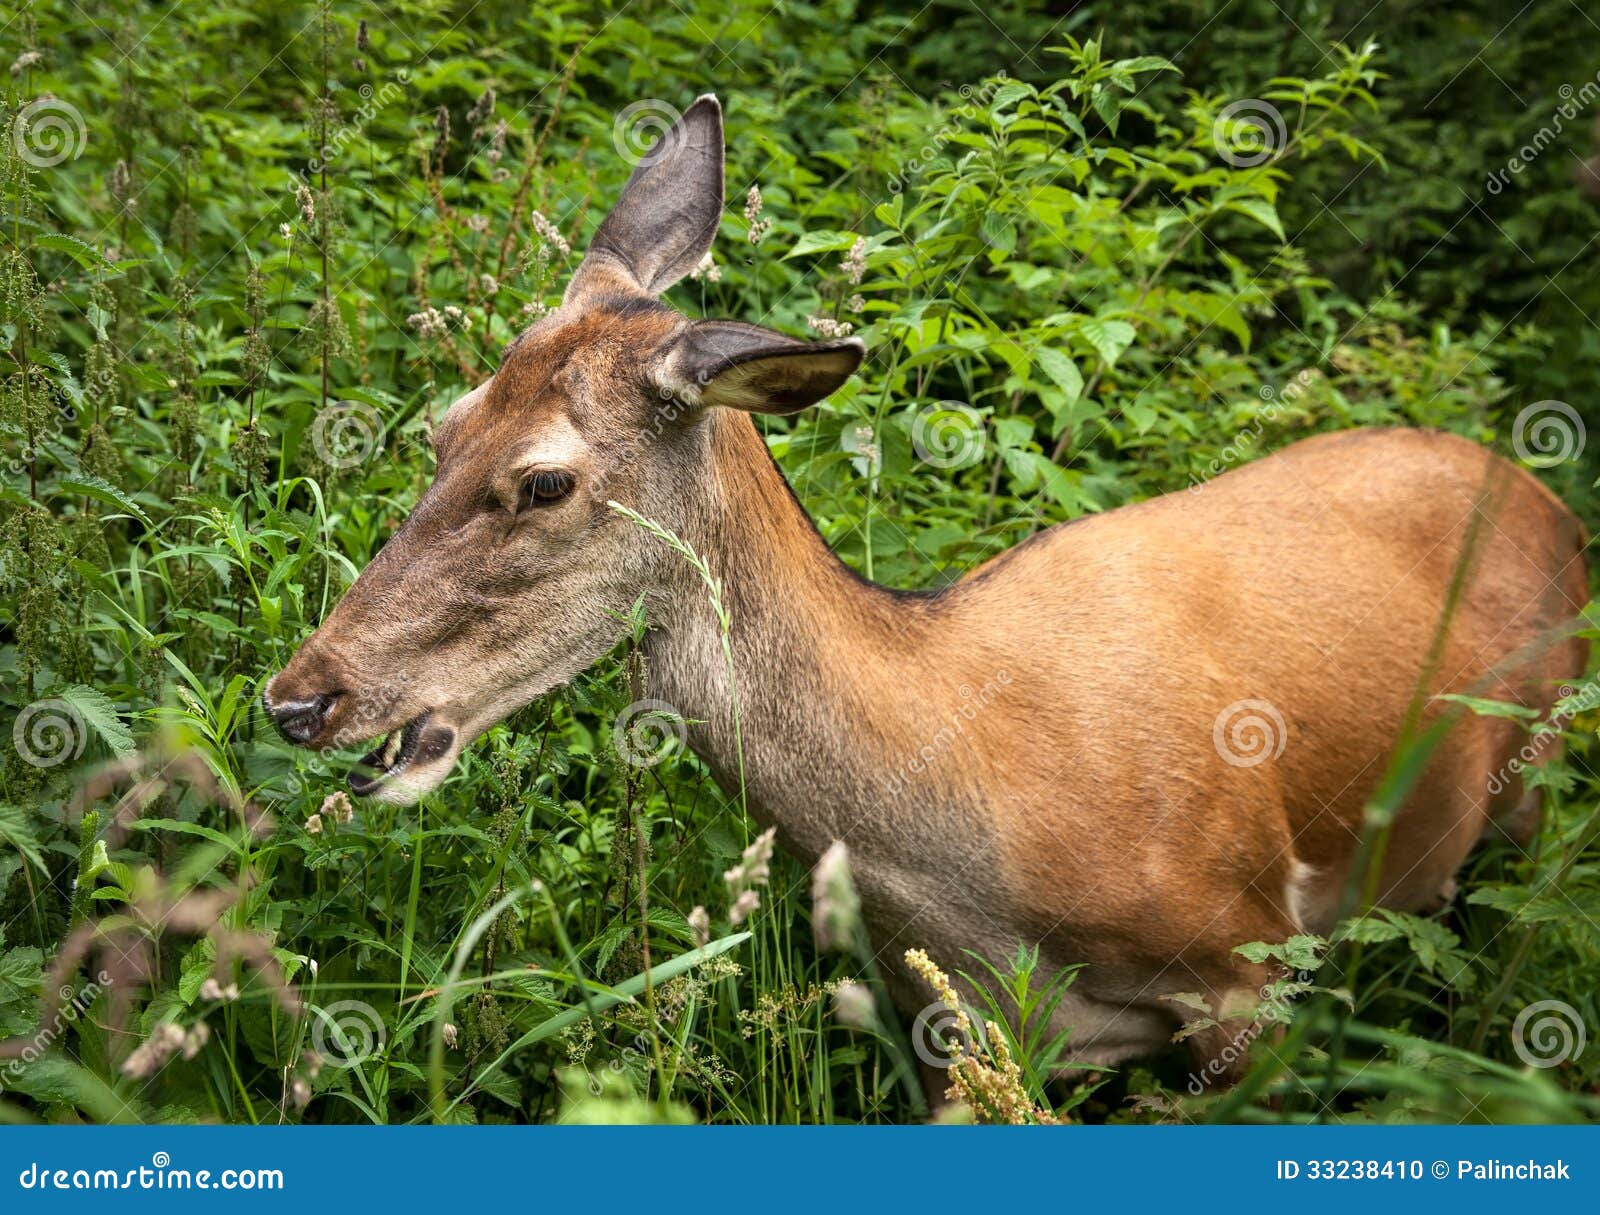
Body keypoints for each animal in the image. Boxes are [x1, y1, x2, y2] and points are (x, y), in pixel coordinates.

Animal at [264, 94, 1589, 1080]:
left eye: (544, 482)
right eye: (441, 430)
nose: (299, 700)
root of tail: (1538, 488)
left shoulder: (1250, 962)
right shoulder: (961, 1030)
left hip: (1536, 777)